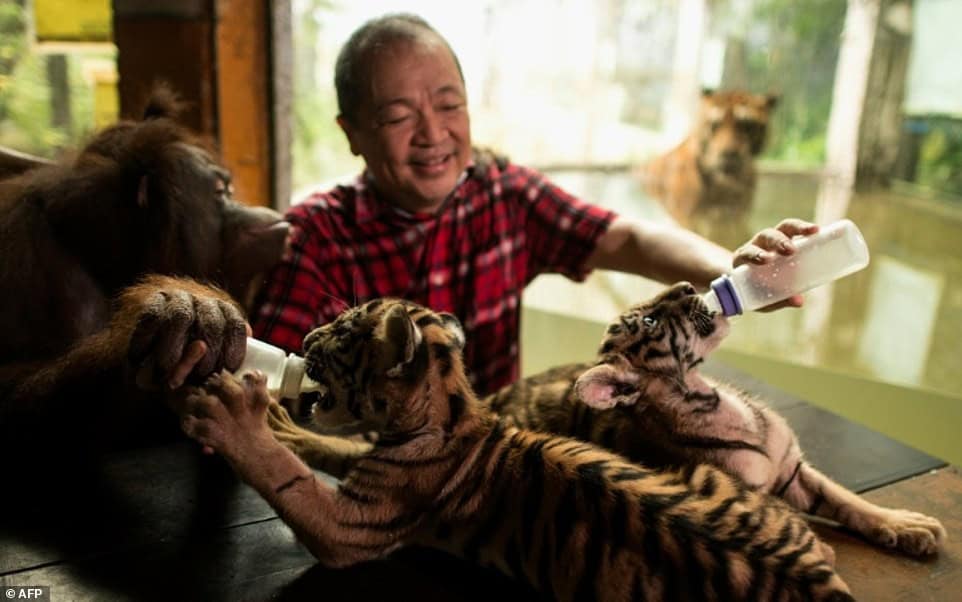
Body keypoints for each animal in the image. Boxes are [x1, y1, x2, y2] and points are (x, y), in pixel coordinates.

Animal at [179, 298, 853, 601]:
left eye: (342, 334)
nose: (306, 337)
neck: (448, 411)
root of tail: (817, 581)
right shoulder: (368, 463)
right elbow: (327, 449)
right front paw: (282, 422)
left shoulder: (354, 525)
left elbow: (286, 478)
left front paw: (236, 419)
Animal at [484, 282, 947, 557]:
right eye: (650, 319)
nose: (690, 285)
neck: (709, 396)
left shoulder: (793, 469)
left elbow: (849, 501)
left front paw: (908, 525)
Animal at [643, 89, 778, 247]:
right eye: (715, 125)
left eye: (746, 125)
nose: (729, 153)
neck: (724, 187)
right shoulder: (688, 216)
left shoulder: (737, 217)